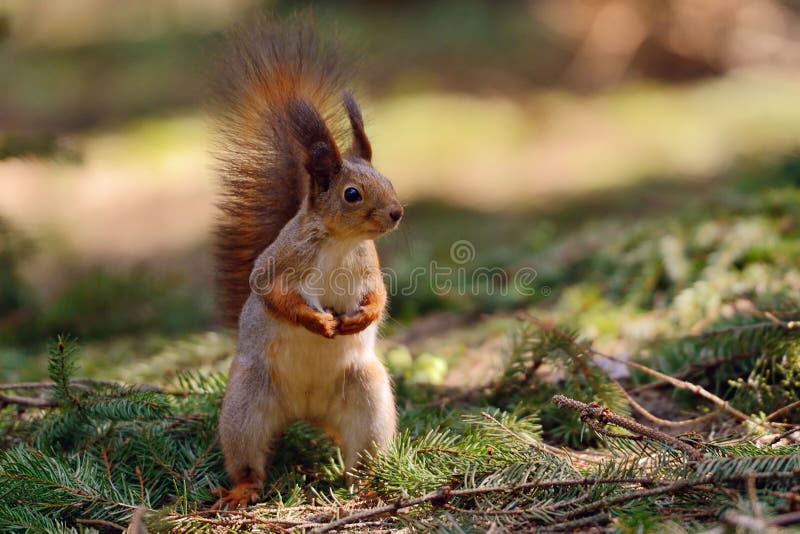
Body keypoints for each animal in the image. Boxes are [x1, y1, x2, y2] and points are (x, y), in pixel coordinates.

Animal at [210, 16, 403, 509]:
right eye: (352, 194)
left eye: (388, 179)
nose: (397, 212)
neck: (340, 242)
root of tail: (307, 411)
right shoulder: (279, 264)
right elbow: (275, 295)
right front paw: (319, 323)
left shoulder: (369, 268)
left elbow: (379, 297)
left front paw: (359, 320)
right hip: (246, 405)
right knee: (248, 460)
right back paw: (241, 490)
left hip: (368, 398)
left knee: (362, 455)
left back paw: (367, 484)